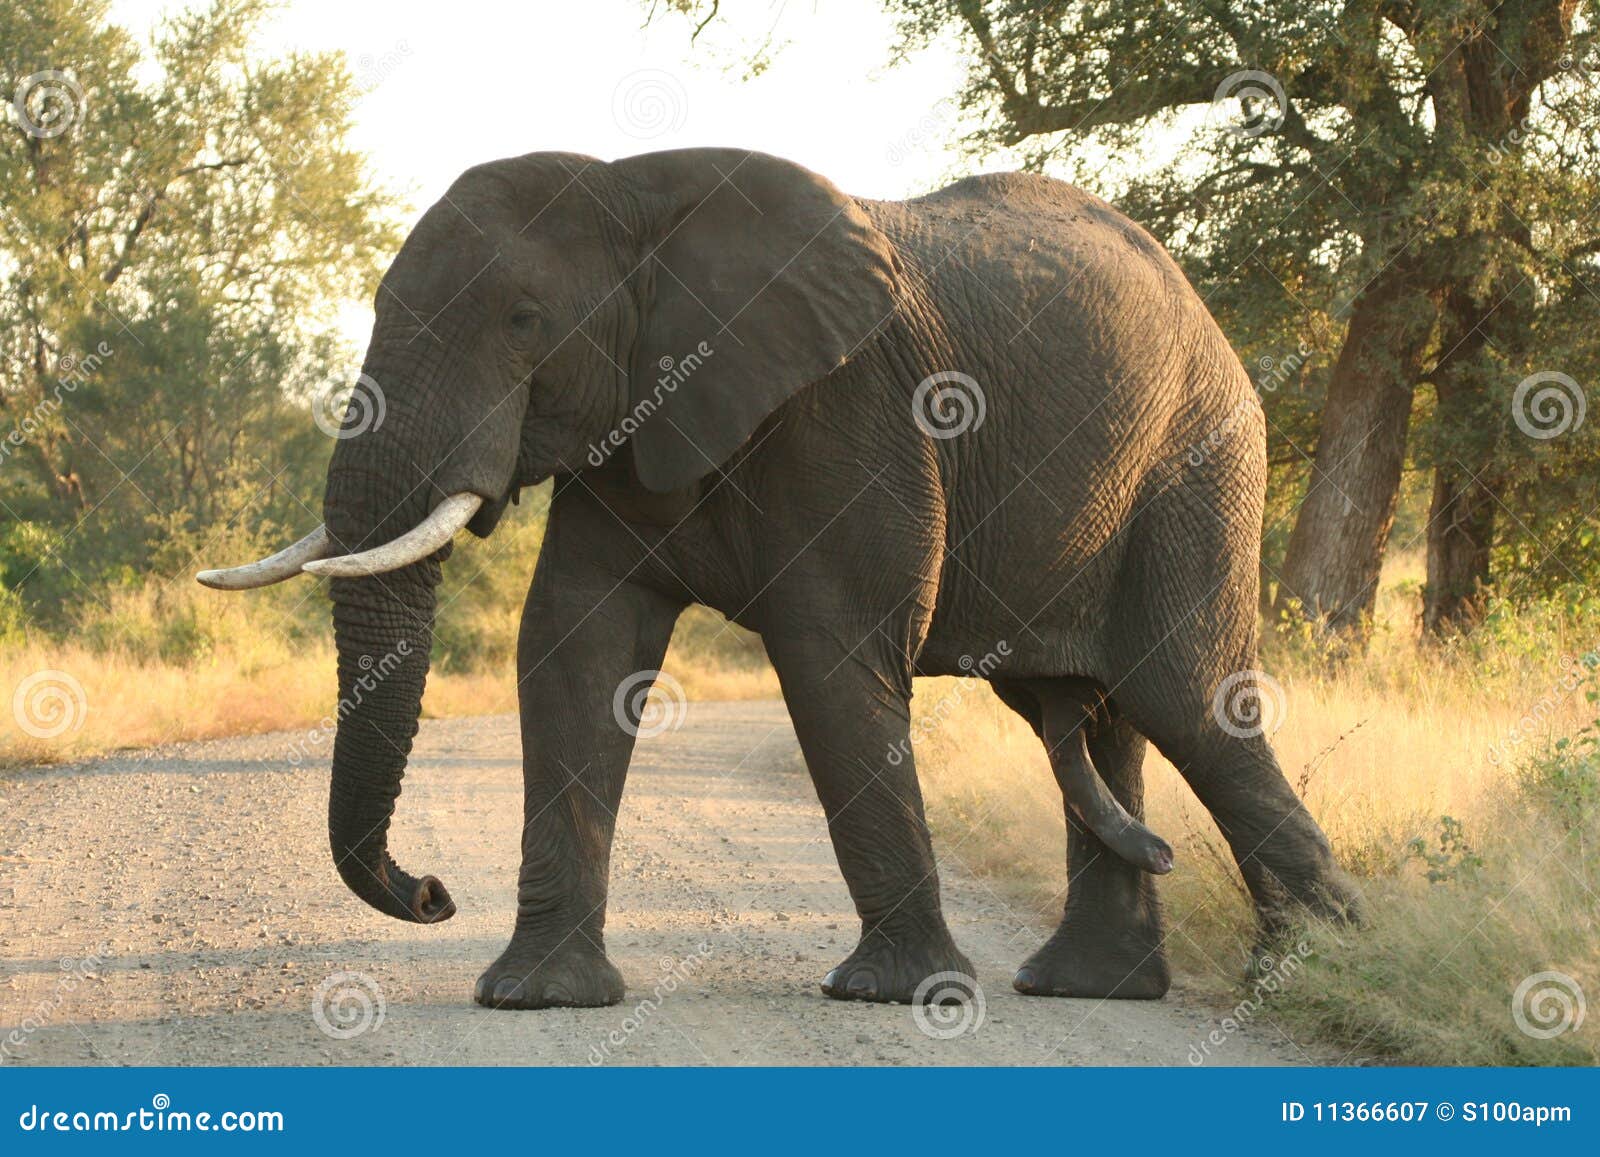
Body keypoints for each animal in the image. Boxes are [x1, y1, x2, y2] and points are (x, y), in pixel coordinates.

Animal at [199, 147, 1360, 1009]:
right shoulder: (634, 417)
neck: (638, 192)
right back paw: (1090, 985)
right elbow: (575, 644)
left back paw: (1310, 970)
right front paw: (534, 997)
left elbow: (830, 654)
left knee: (1187, 700)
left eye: (524, 321)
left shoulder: (855, 410)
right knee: (1107, 717)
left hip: (1199, 463)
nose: (432, 890)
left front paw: (892, 993)